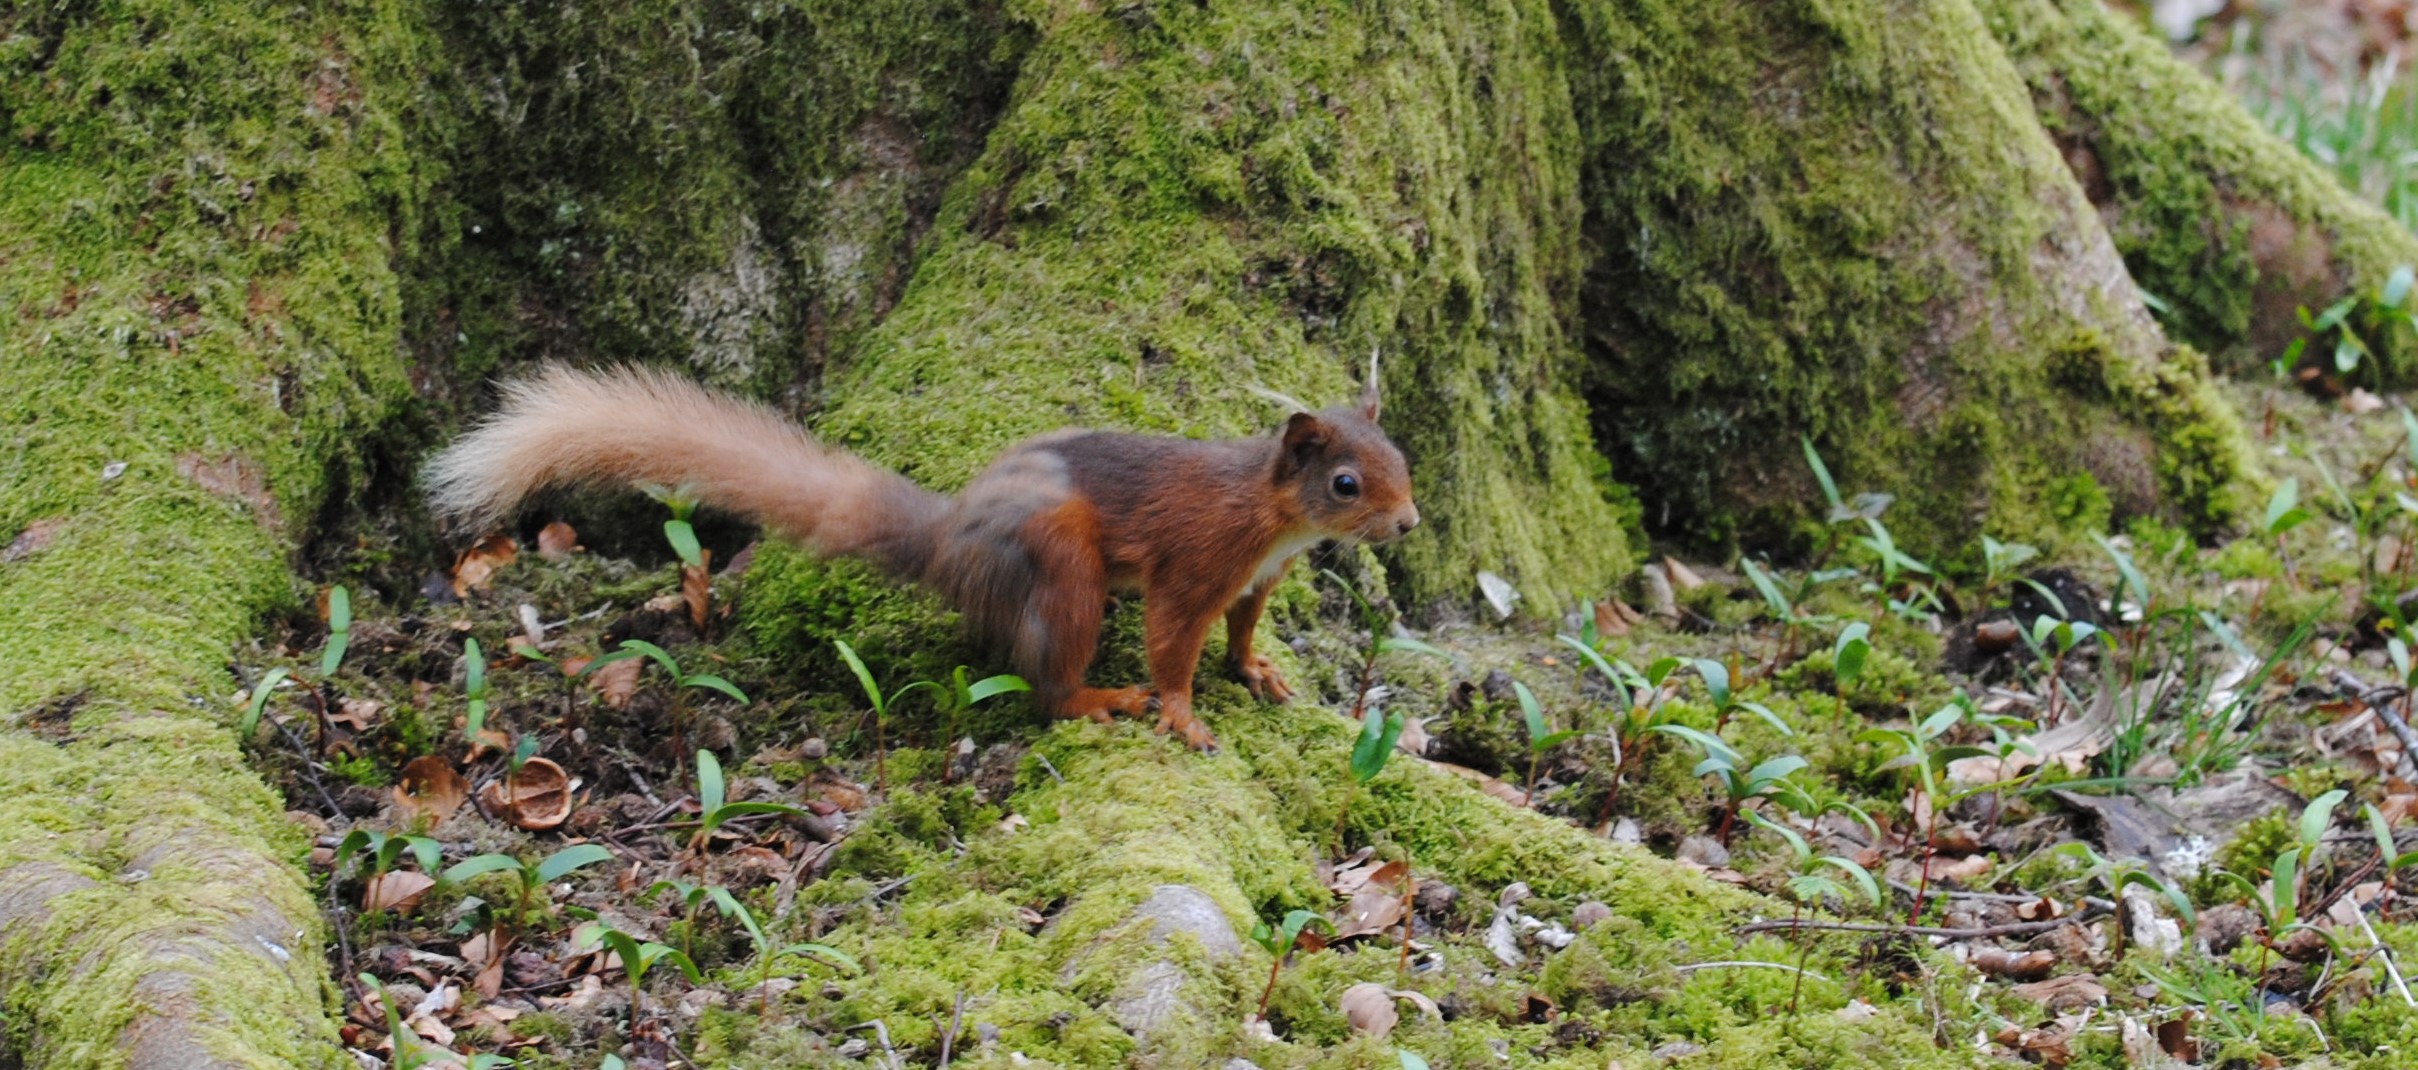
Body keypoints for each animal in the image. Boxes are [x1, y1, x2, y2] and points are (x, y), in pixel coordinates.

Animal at [423, 365, 1420, 751]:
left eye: (1401, 459)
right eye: (1344, 483)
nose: (1409, 524)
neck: (1269, 514)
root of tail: (952, 545)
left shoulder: (1256, 579)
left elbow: (1242, 631)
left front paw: (1258, 672)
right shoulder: (1196, 562)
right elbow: (1175, 642)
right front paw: (1184, 716)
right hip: (1063, 570)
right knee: (1046, 687)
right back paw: (1098, 698)